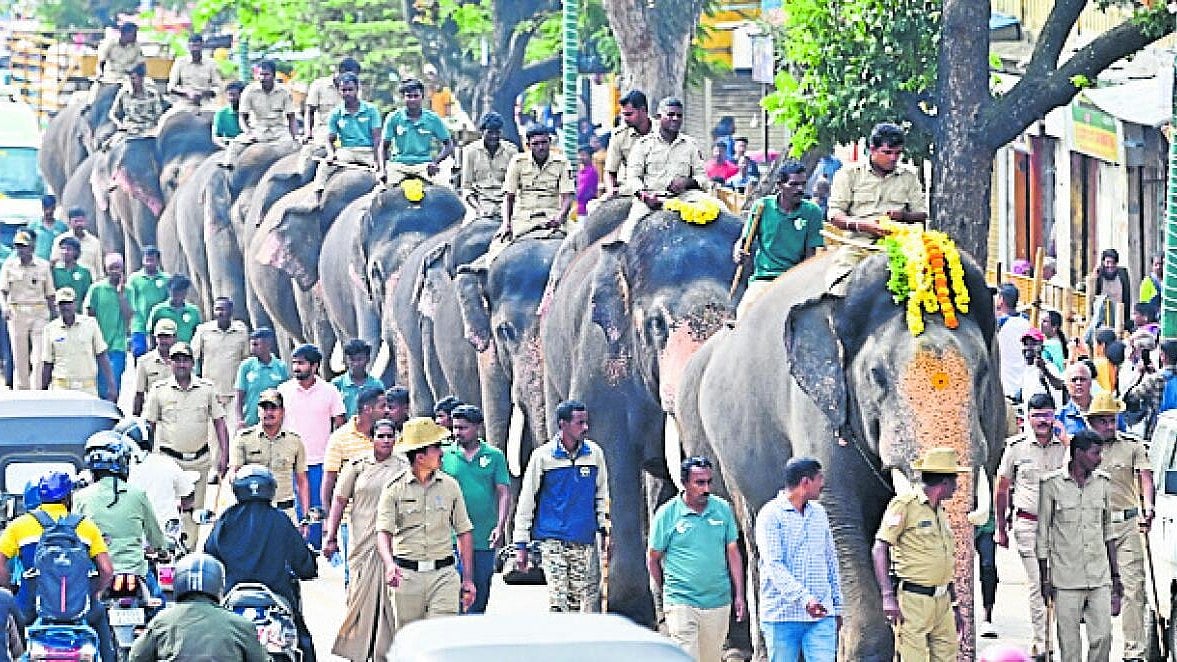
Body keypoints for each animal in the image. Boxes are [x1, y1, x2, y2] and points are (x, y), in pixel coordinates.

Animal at [674, 250, 1005, 660]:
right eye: (877, 375)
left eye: (983, 372)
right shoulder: (818, 414)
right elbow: (839, 521)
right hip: (704, 432)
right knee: (745, 537)